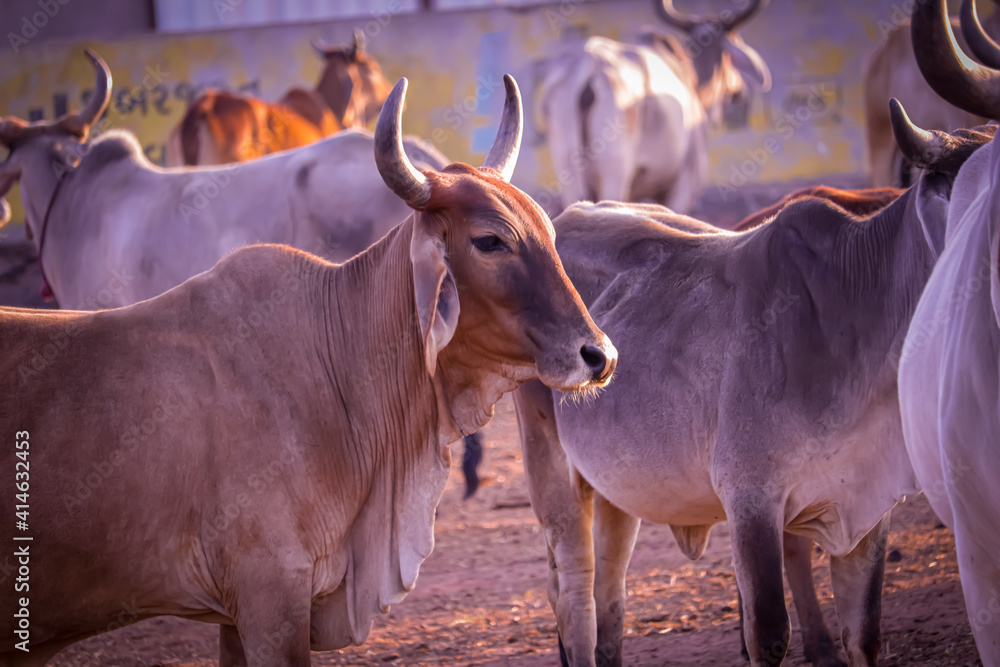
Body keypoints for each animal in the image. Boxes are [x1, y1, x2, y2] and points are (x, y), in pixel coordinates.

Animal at [512, 109, 994, 665]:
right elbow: (768, 633)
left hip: (615, 486)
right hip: (551, 467)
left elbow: (865, 634)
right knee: (573, 592)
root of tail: (567, 217)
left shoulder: (868, 510)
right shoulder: (751, 501)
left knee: (608, 593)